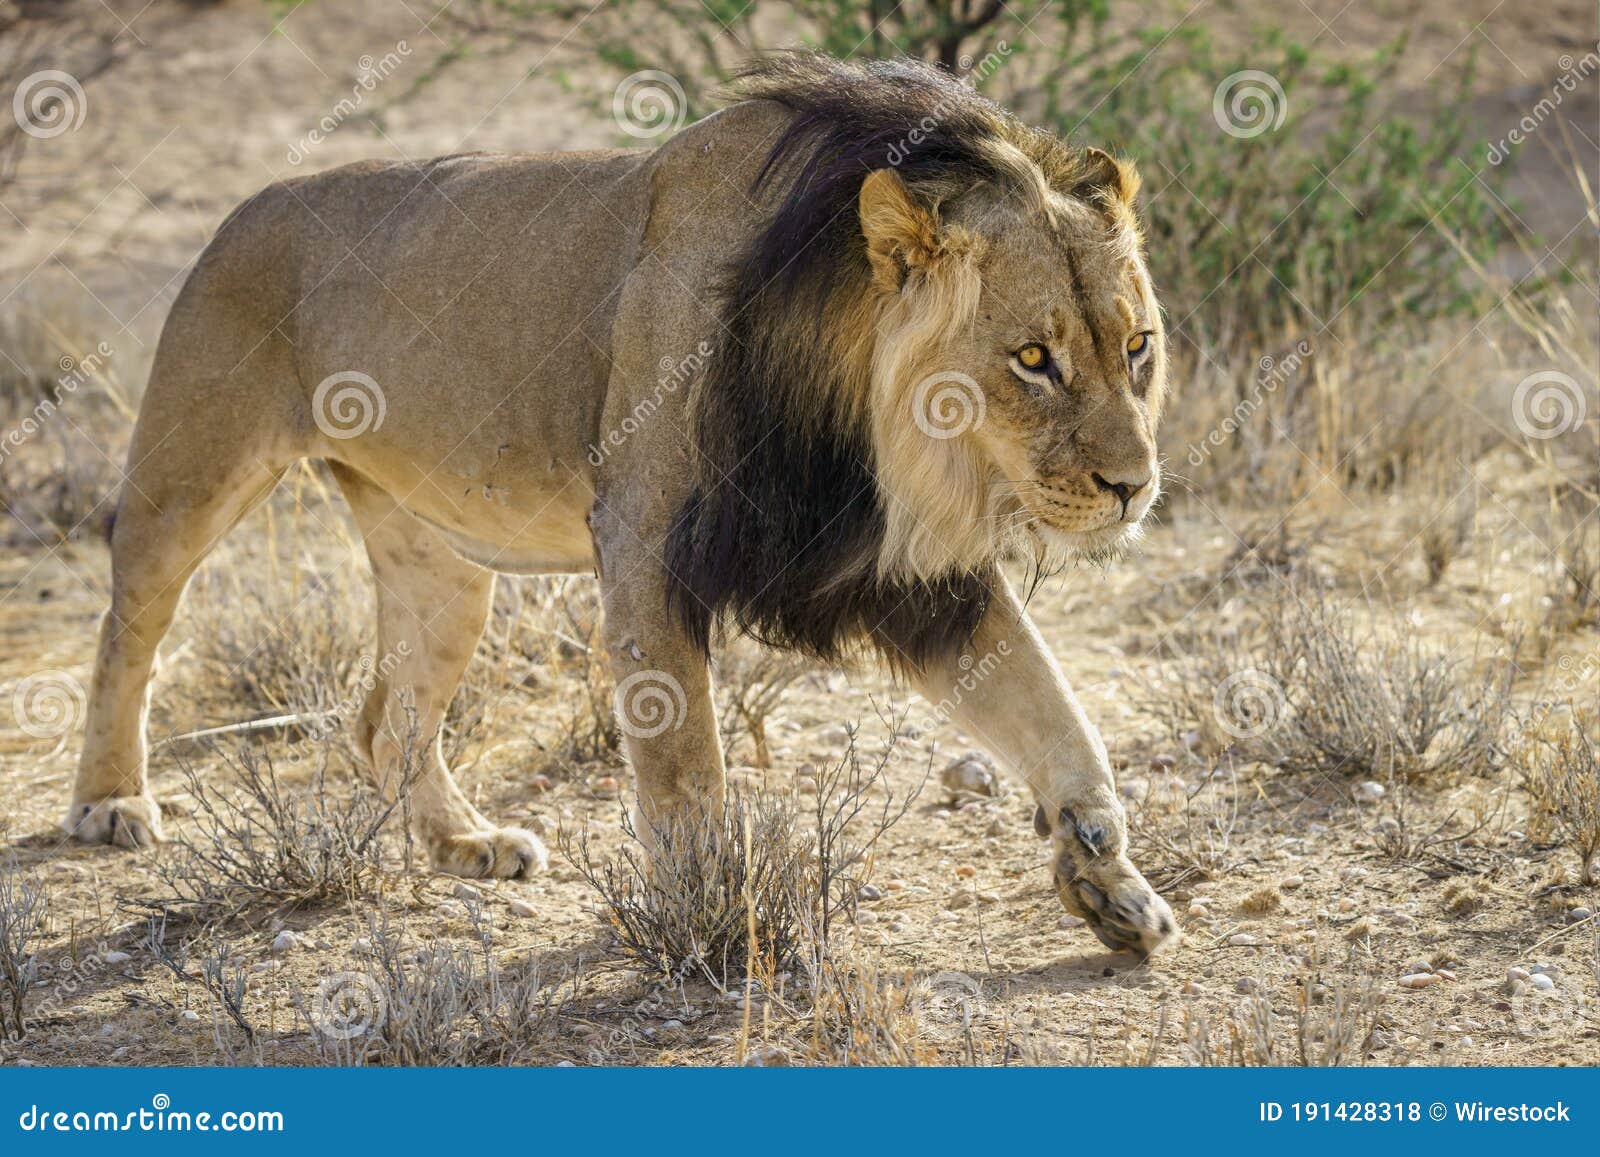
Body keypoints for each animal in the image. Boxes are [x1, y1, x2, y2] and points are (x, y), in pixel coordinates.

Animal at [67, 54, 1176, 954]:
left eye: (1136, 347)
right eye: (1031, 360)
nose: (1133, 486)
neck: (859, 425)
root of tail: (248, 201)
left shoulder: (904, 572)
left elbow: (1054, 711)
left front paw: (1108, 875)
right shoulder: (643, 539)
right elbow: (686, 769)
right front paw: (715, 916)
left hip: (439, 567)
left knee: (387, 716)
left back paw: (466, 842)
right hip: (190, 471)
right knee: (130, 631)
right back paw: (110, 803)